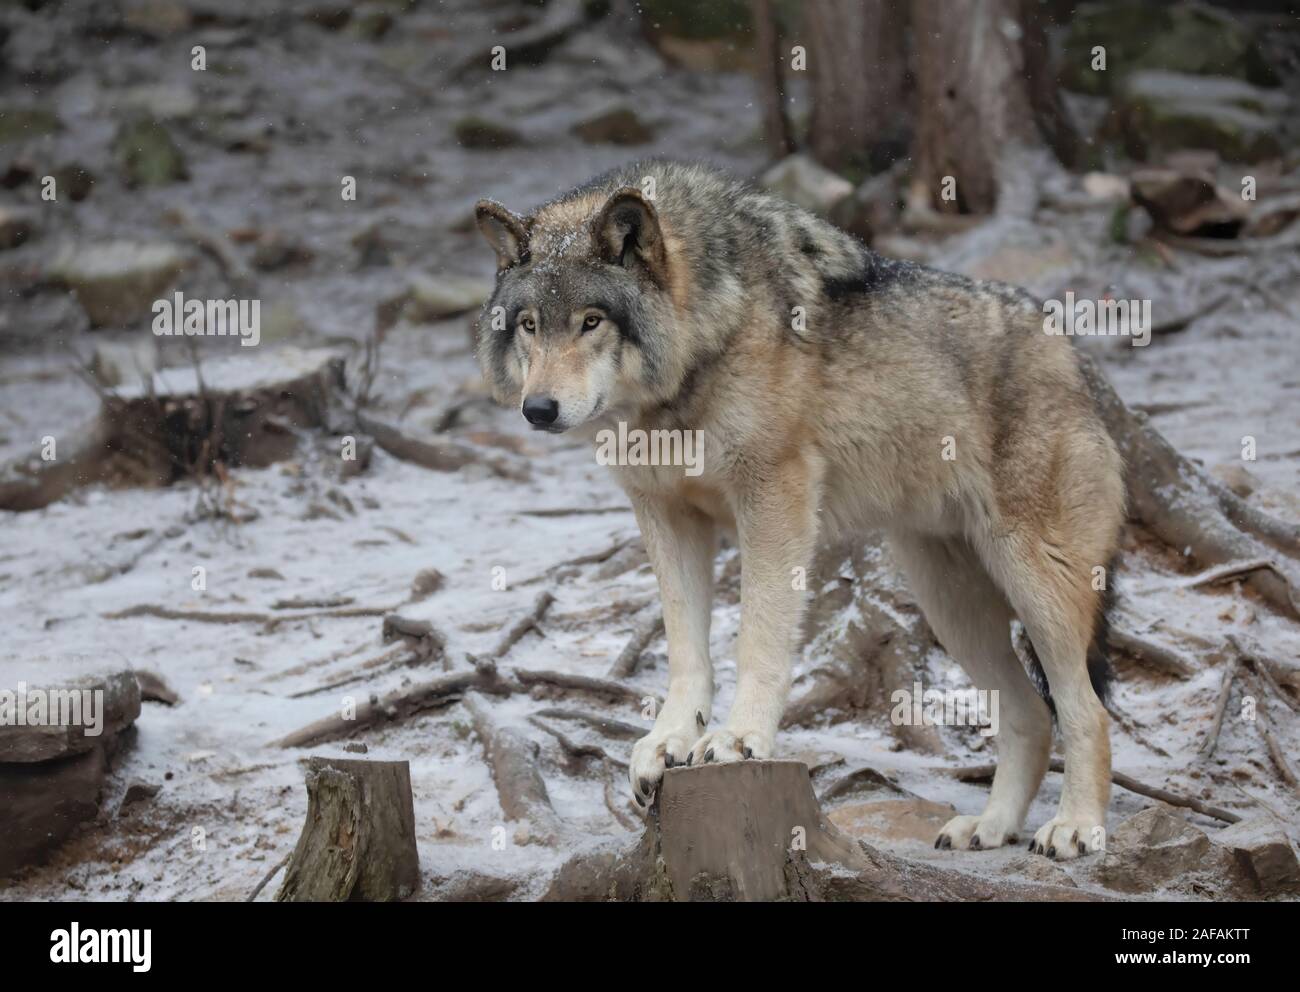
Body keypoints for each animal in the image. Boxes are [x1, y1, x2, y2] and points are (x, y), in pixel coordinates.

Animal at [473, 160, 1124, 860]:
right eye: (530, 325)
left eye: (592, 321)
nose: (537, 409)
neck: (700, 347)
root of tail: (1081, 362)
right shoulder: (665, 514)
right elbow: (686, 650)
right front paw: (670, 743)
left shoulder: (773, 498)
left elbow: (758, 637)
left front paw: (737, 740)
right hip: (949, 603)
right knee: (1030, 716)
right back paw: (992, 826)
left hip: (1031, 583)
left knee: (1086, 711)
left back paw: (1076, 827)